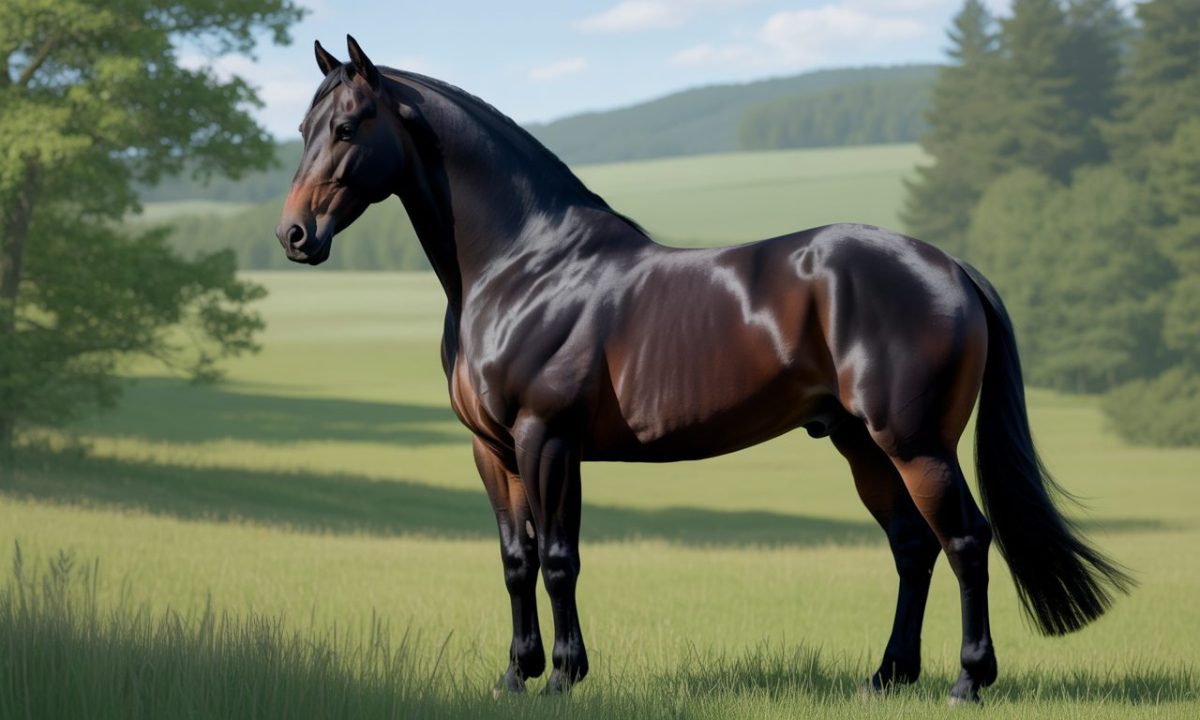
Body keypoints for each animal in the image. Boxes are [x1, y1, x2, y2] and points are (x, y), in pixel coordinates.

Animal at [275, 36, 1131, 704]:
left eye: (348, 126)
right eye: (303, 127)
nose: (294, 236)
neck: (524, 266)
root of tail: (951, 266)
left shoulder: (546, 439)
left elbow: (558, 560)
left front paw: (564, 677)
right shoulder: (492, 449)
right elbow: (516, 563)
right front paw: (515, 676)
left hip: (916, 442)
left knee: (964, 541)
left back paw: (966, 681)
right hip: (860, 443)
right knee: (911, 546)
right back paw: (887, 677)